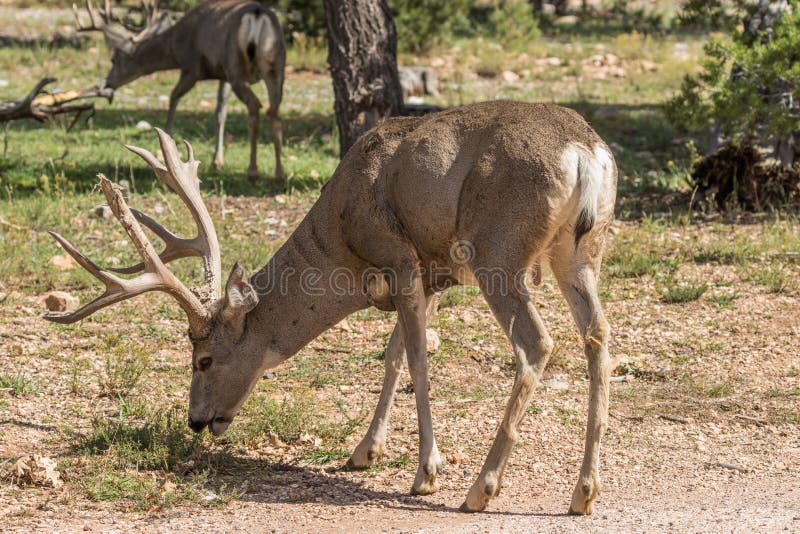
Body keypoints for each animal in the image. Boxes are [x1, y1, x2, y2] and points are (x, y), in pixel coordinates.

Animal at [45, 100, 617, 515]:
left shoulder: (399, 257)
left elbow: (416, 359)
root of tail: (585, 153)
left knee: (536, 343)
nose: (197, 421)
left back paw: (480, 489)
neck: (341, 240)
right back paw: (583, 494)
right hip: (580, 252)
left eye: (203, 358)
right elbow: (393, 357)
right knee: (598, 334)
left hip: (499, 249)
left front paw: (424, 474)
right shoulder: (430, 272)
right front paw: (364, 452)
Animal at [74, 0, 285, 184]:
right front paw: (217, 161)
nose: (105, 83)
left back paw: (253, 172)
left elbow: (173, 97)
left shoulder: (192, 67)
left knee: (255, 105)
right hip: (274, 65)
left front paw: (165, 149)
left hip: (236, 65)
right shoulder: (222, 73)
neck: (174, 46)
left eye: (114, 60)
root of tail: (257, 14)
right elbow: (220, 112)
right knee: (273, 110)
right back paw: (278, 173)